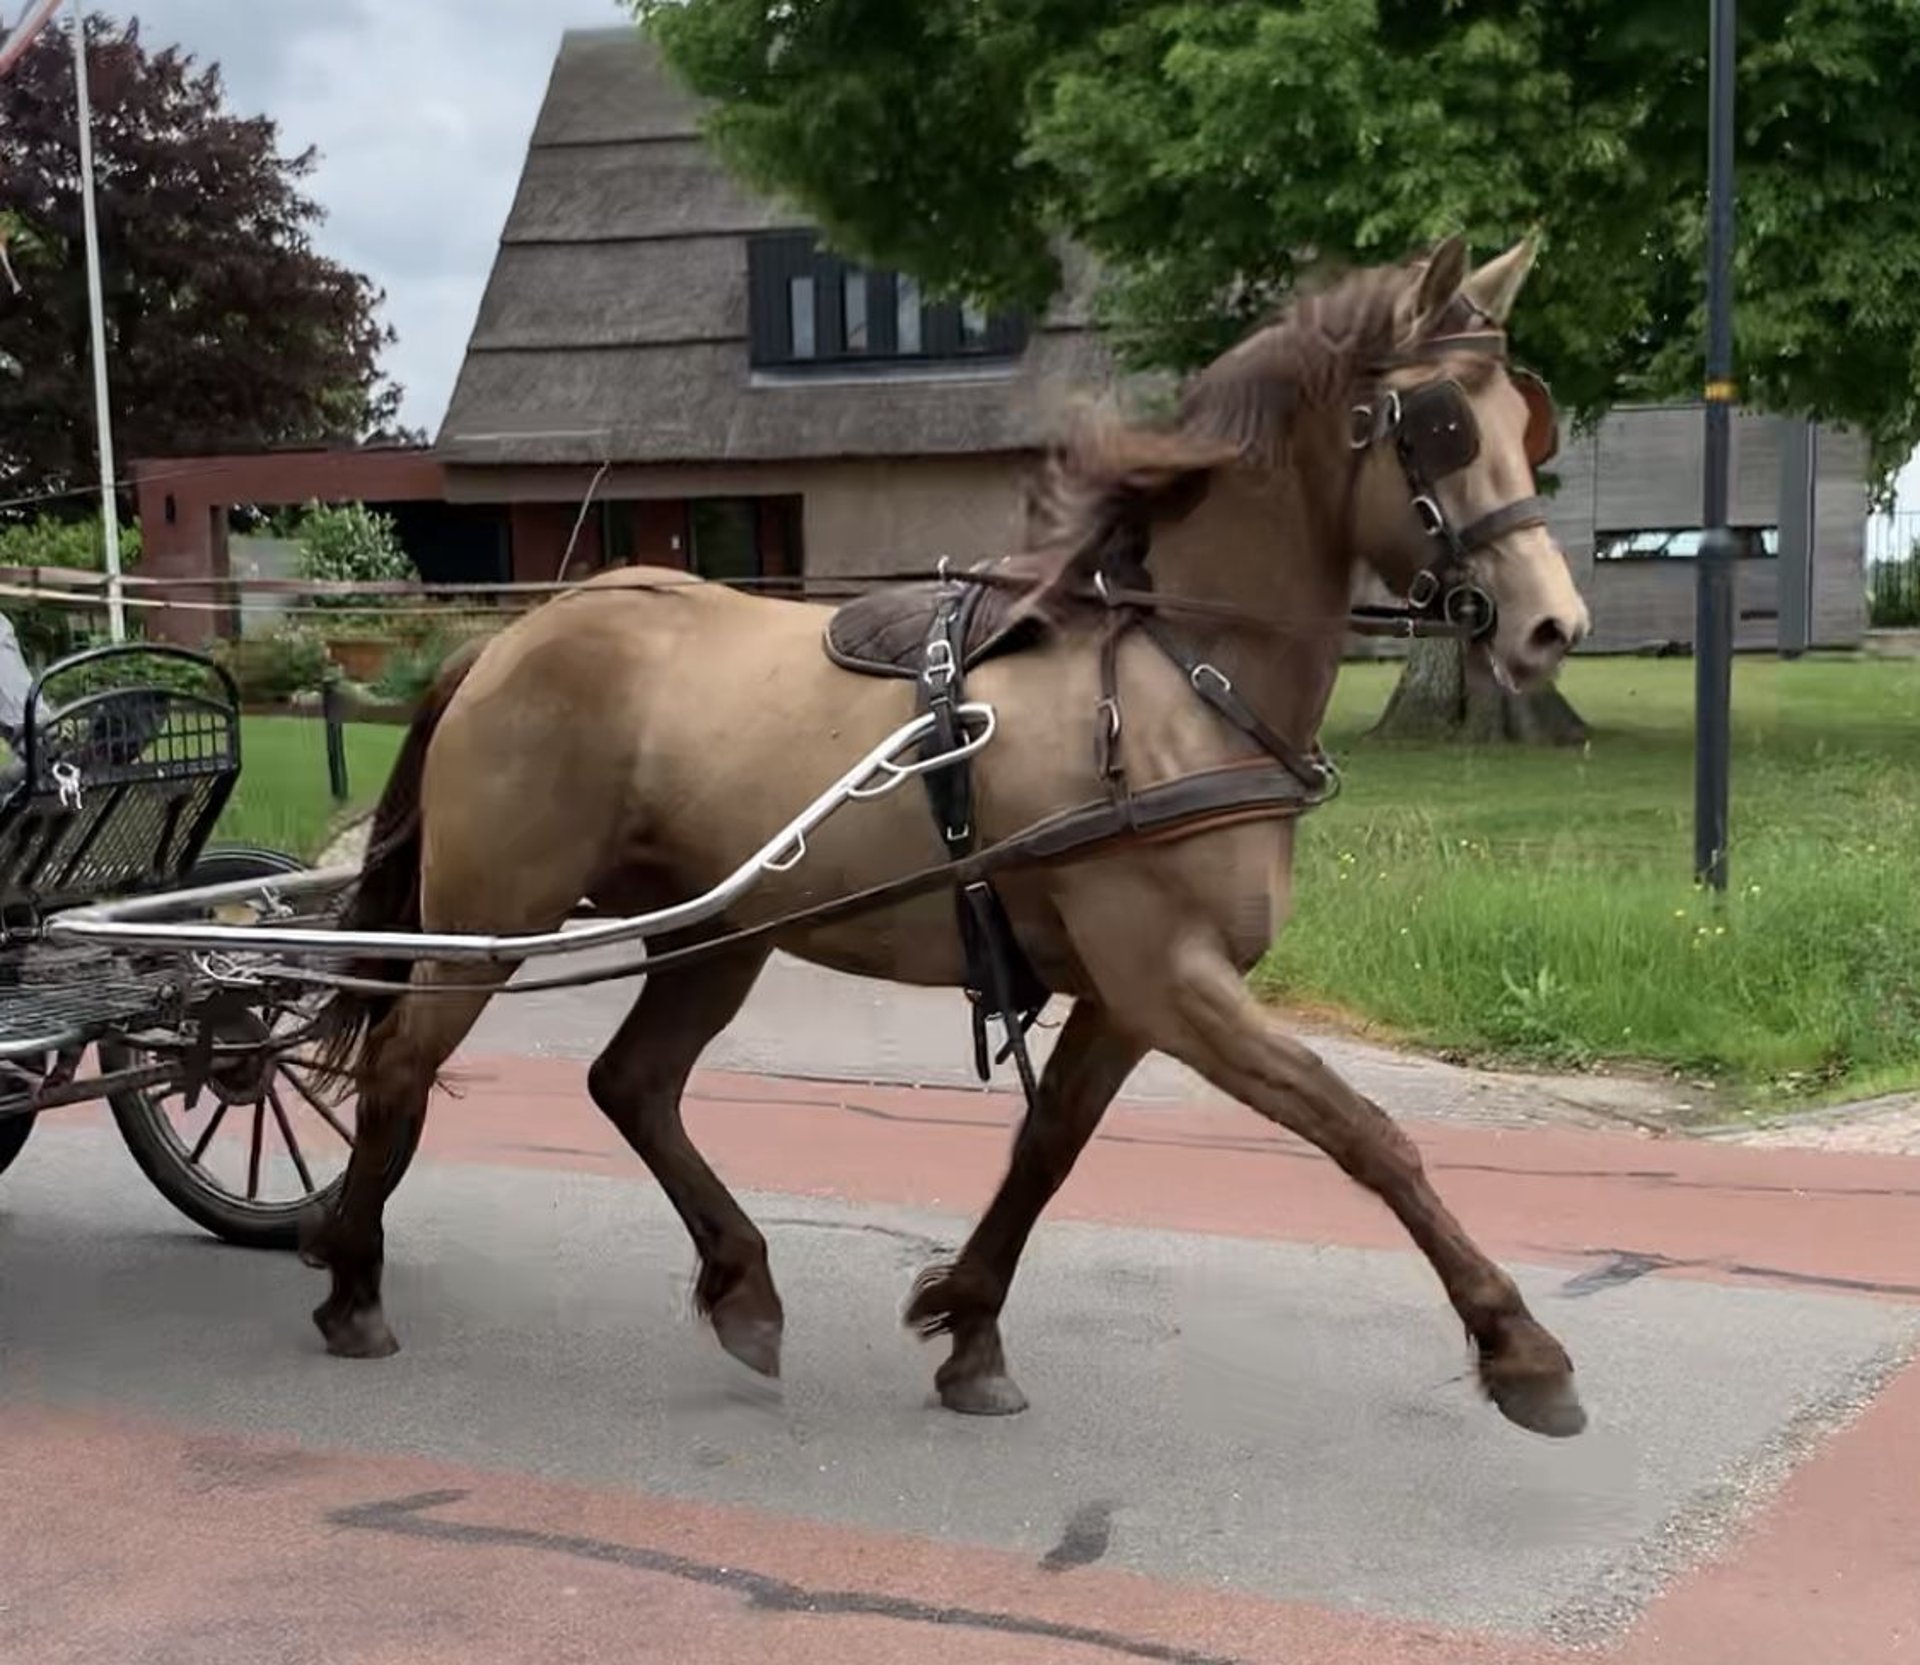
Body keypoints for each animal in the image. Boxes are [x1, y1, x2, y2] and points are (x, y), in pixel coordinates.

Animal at [301, 233, 1594, 1438]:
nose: (1552, 626)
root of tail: (506, 640)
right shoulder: (1169, 976)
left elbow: (1049, 1145)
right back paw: (353, 1278)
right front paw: (1520, 1346)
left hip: (719, 929)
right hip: (493, 915)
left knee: (633, 1084)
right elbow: (1365, 1133)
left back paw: (740, 1283)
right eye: (1438, 423)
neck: (1176, 675)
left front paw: (969, 1327)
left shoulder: (1128, 998)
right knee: (405, 1062)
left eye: (1525, 420)